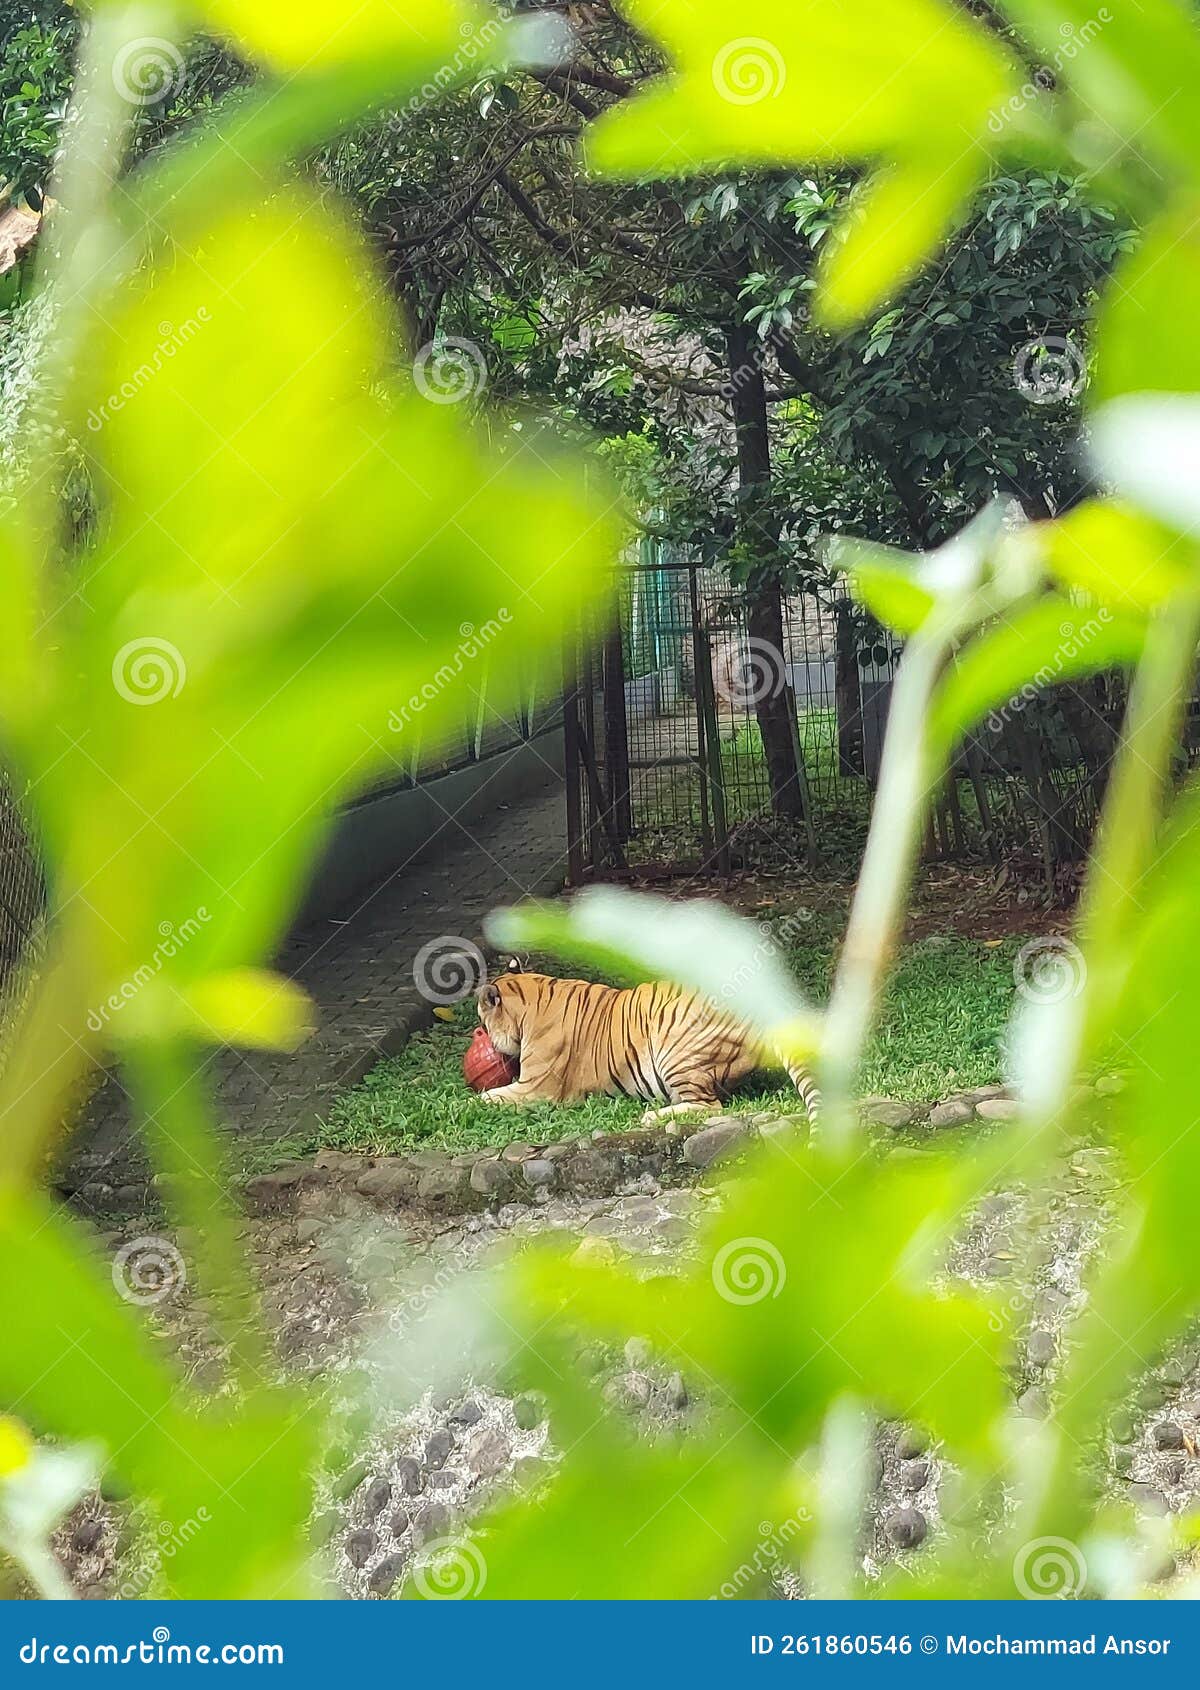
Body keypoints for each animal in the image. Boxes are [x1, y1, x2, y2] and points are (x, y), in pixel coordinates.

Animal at [474, 965, 821, 1128]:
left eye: (482, 1023)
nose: (481, 1035)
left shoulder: (536, 1089)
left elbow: (486, 1097)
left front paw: (469, 1102)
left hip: (674, 1049)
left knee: (709, 1105)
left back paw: (652, 1117)